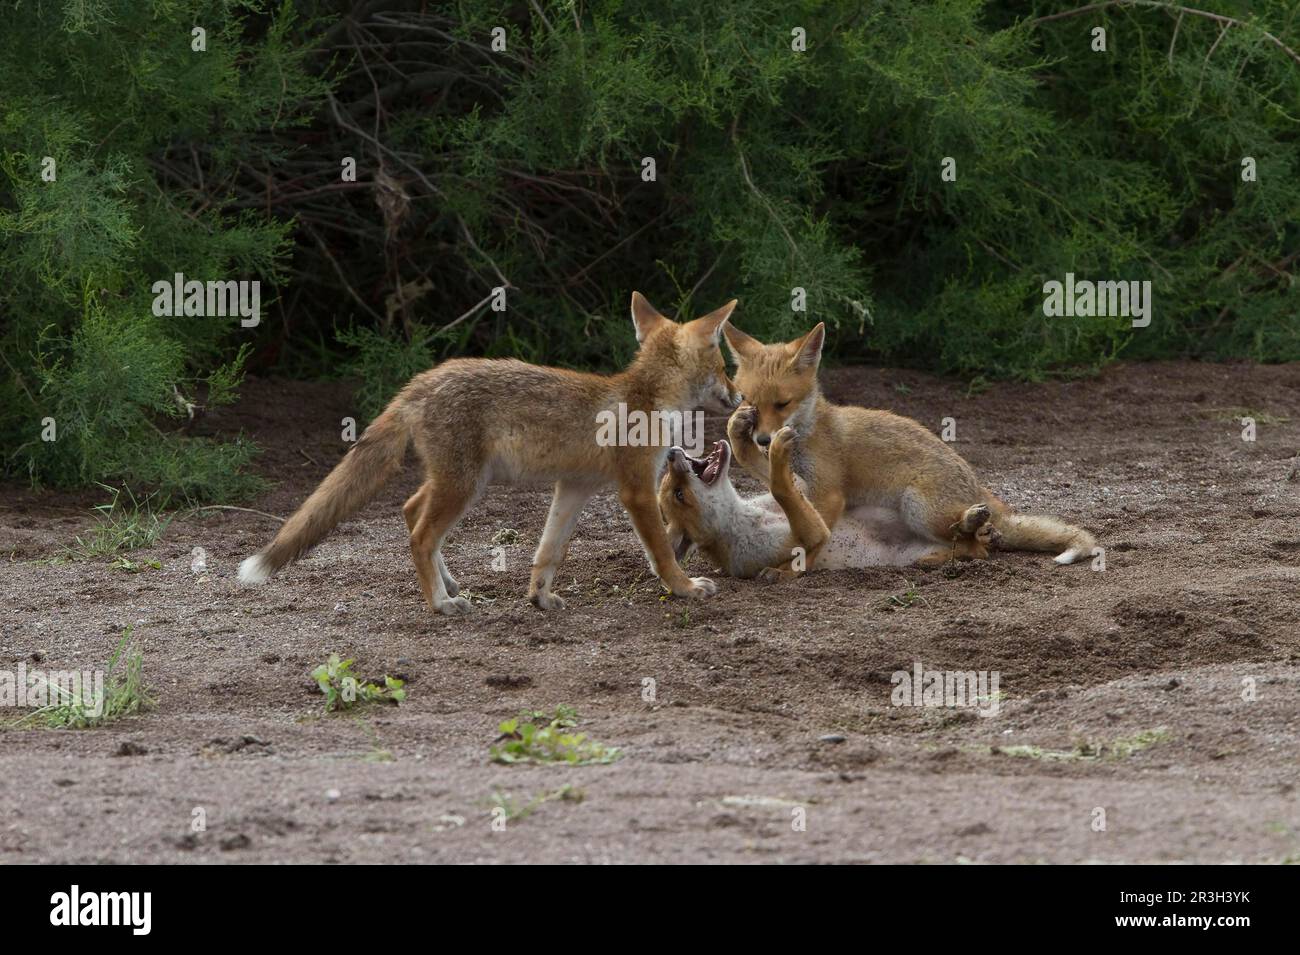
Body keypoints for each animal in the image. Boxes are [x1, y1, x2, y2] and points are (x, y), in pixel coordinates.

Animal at [238, 292, 739, 615]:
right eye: (723, 368)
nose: (738, 396)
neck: (646, 399)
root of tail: (423, 380)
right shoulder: (635, 489)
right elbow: (662, 552)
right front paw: (684, 588)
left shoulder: (574, 486)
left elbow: (548, 550)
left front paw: (539, 598)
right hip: (466, 485)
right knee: (420, 534)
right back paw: (440, 603)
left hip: (455, 480)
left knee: (410, 510)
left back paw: (446, 583)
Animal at [713, 322, 1097, 573]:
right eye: (750, 402)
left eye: (782, 404)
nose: (764, 439)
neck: (812, 431)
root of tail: (977, 486)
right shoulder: (800, 482)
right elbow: (758, 466)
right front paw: (738, 433)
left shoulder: (828, 494)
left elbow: (812, 539)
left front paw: (790, 570)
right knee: (977, 540)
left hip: (917, 507)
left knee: (980, 549)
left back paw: (952, 545)